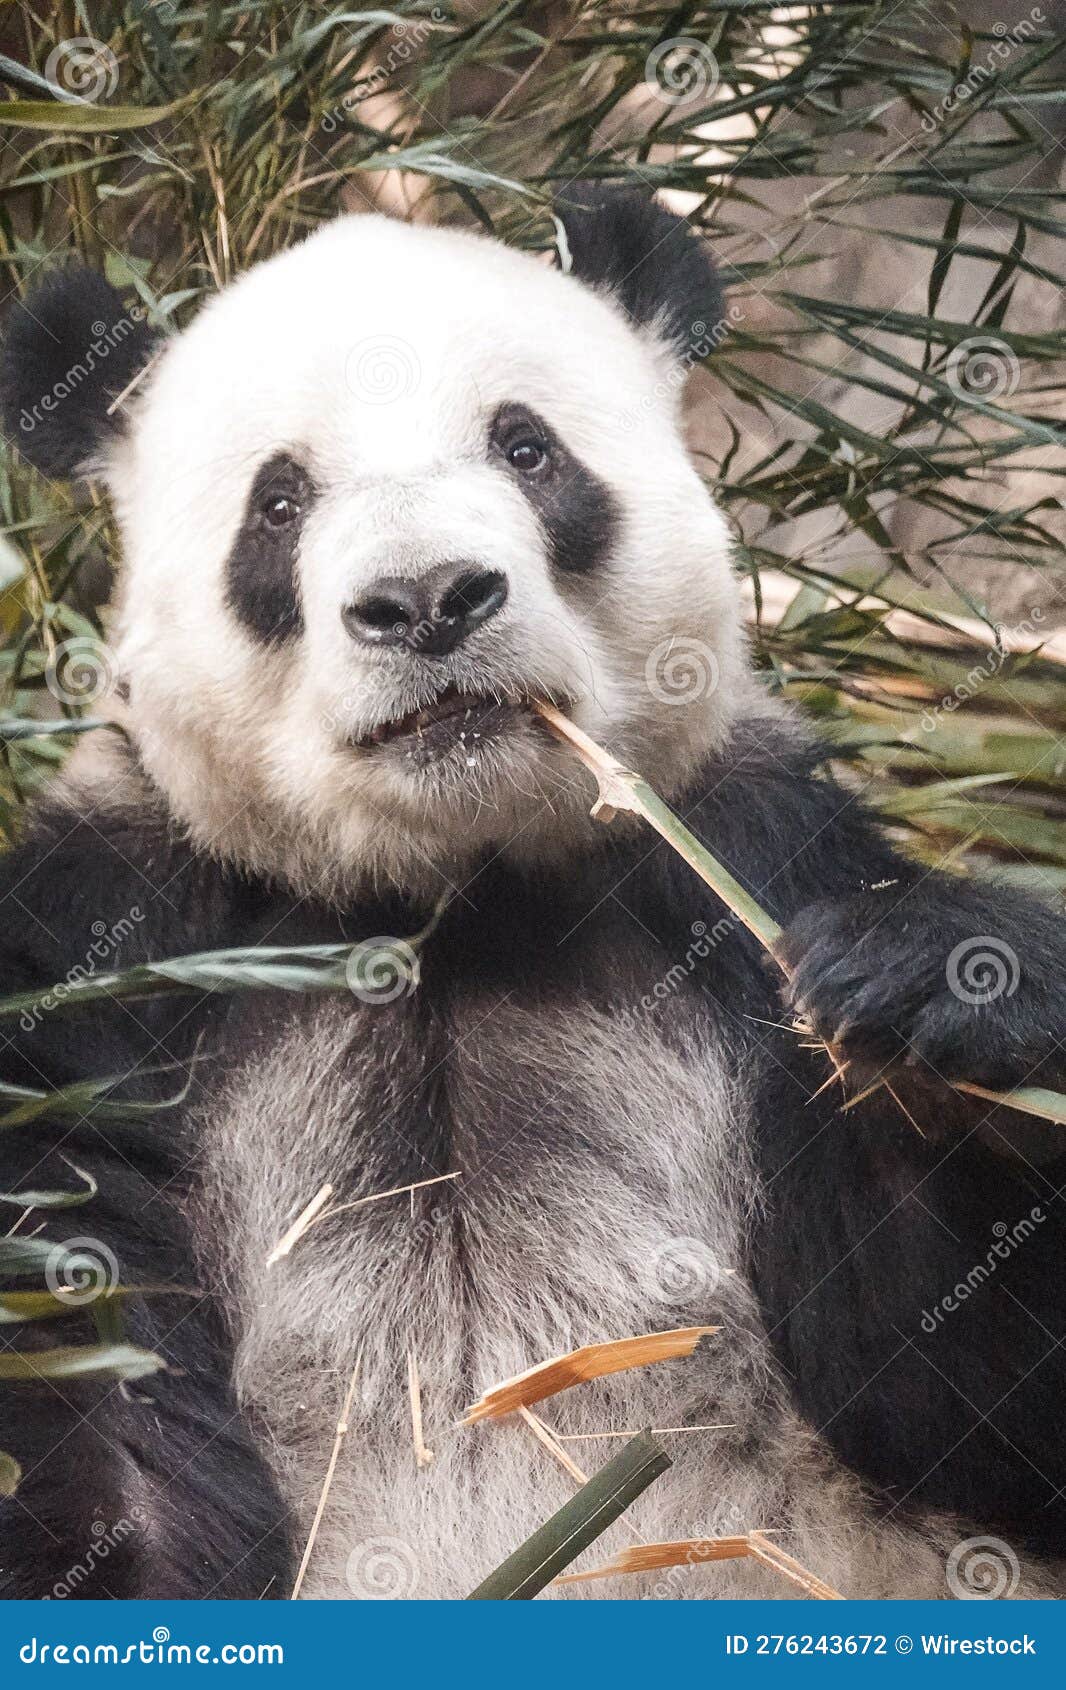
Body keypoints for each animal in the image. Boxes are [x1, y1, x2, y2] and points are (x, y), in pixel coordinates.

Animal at [0, 188, 1064, 1602]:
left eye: (525, 447)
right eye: (277, 501)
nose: (427, 600)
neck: (454, 891)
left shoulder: (742, 863)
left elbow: (964, 1393)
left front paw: (939, 1002)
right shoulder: (123, 944)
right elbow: (84, 1344)